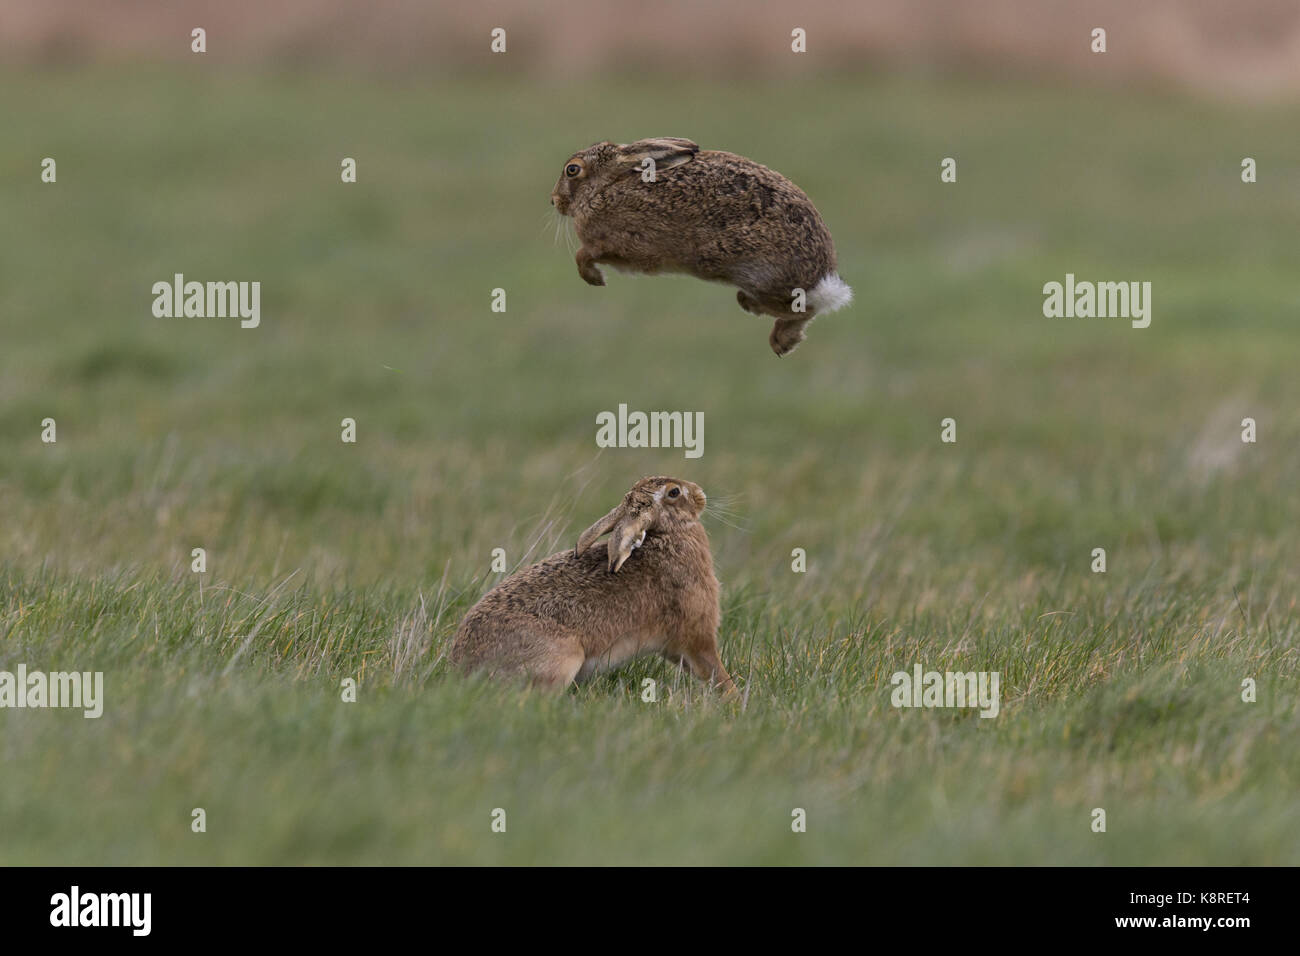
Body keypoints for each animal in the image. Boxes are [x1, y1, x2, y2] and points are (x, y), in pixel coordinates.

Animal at [449, 476, 736, 696]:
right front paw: (733, 698)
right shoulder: (695, 633)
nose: (700, 494)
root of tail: (464, 667)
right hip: (565, 658)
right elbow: (713, 668)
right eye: (674, 492)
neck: (668, 535)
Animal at [550, 137, 852, 356]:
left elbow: (582, 255)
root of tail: (822, 278)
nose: (553, 200)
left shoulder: (623, 246)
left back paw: (777, 336)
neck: (604, 188)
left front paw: (595, 279)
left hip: (754, 272)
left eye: (572, 170)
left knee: (801, 308)